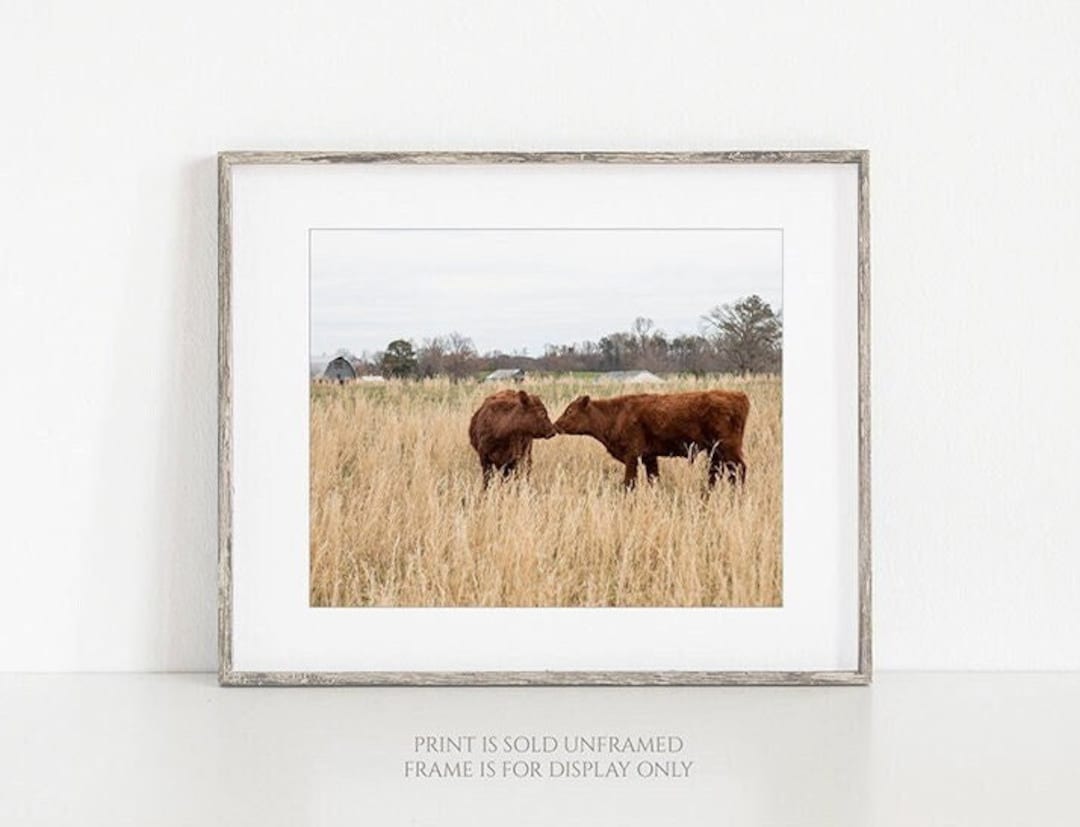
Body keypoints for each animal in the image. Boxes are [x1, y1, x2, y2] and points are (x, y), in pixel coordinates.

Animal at [553, 390, 749, 489]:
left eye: (570, 411)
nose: (555, 425)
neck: (616, 414)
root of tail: (738, 395)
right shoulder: (650, 457)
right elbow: (653, 479)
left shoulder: (632, 456)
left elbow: (629, 483)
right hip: (715, 452)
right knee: (716, 473)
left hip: (728, 448)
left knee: (738, 469)